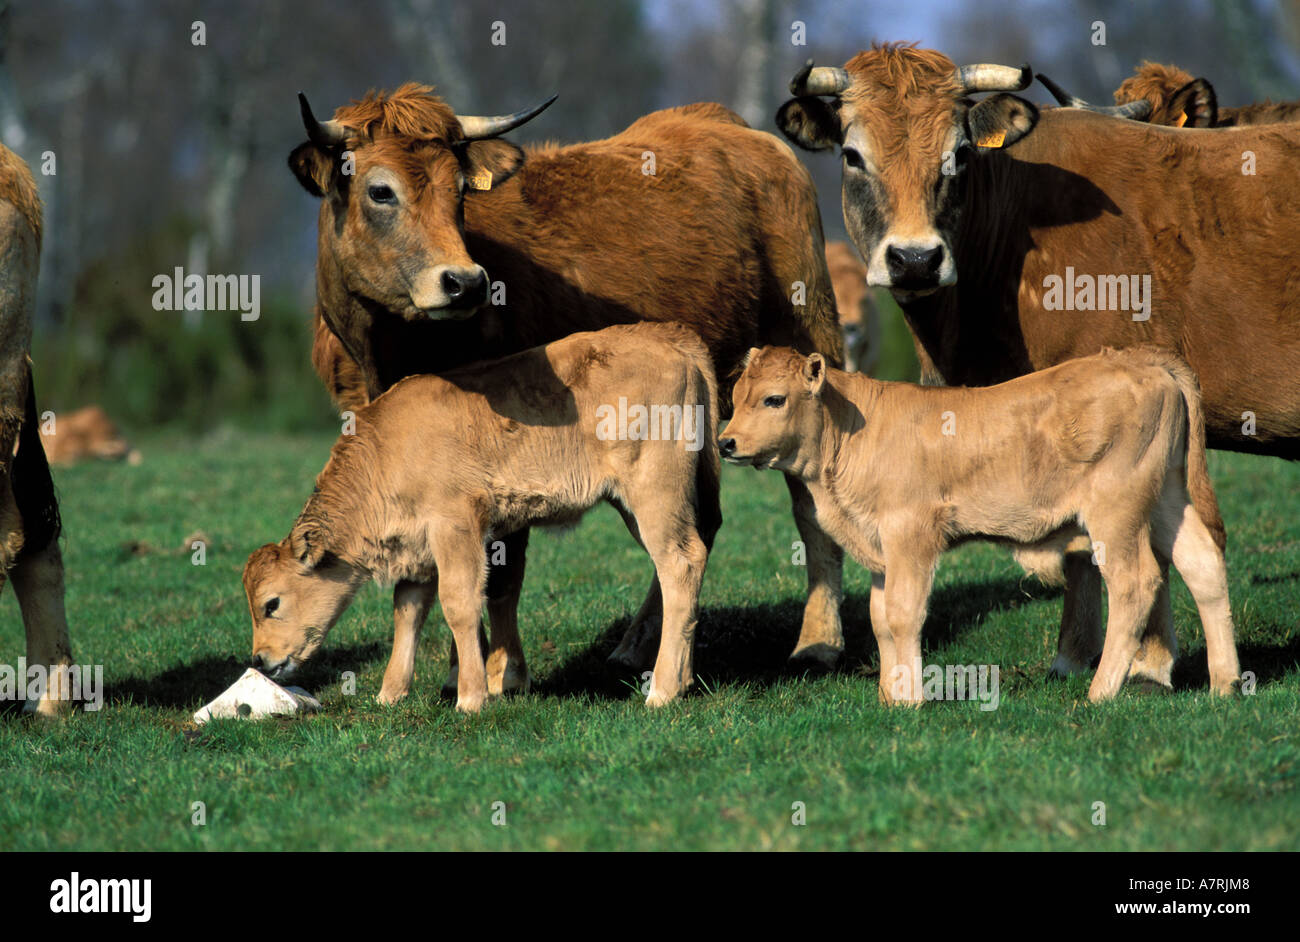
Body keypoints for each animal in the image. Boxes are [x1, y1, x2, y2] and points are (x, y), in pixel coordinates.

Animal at [244, 323, 717, 712]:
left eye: (272, 603)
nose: (260, 660)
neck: (385, 452)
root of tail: (669, 338)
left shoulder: (455, 524)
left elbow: (460, 604)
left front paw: (471, 697)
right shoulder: (417, 548)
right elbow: (408, 611)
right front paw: (389, 694)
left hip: (654, 494)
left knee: (680, 563)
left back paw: (662, 690)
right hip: (636, 505)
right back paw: (682, 679)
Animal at [290, 83, 847, 692]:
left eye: (459, 191)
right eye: (380, 190)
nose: (467, 282)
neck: (389, 349)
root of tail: (727, 125)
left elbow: (501, 570)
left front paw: (500, 672)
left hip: (806, 350)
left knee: (808, 512)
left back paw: (817, 643)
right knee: (699, 529)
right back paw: (640, 648)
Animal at [718, 345, 1241, 704]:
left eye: (773, 399)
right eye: (736, 397)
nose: (725, 442)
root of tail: (1140, 359)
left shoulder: (910, 533)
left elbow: (904, 614)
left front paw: (910, 700)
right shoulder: (880, 549)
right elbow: (880, 619)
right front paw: (890, 695)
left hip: (1117, 510)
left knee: (1136, 583)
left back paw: (1101, 691)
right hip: (1167, 496)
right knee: (1202, 564)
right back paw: (1226, 683)